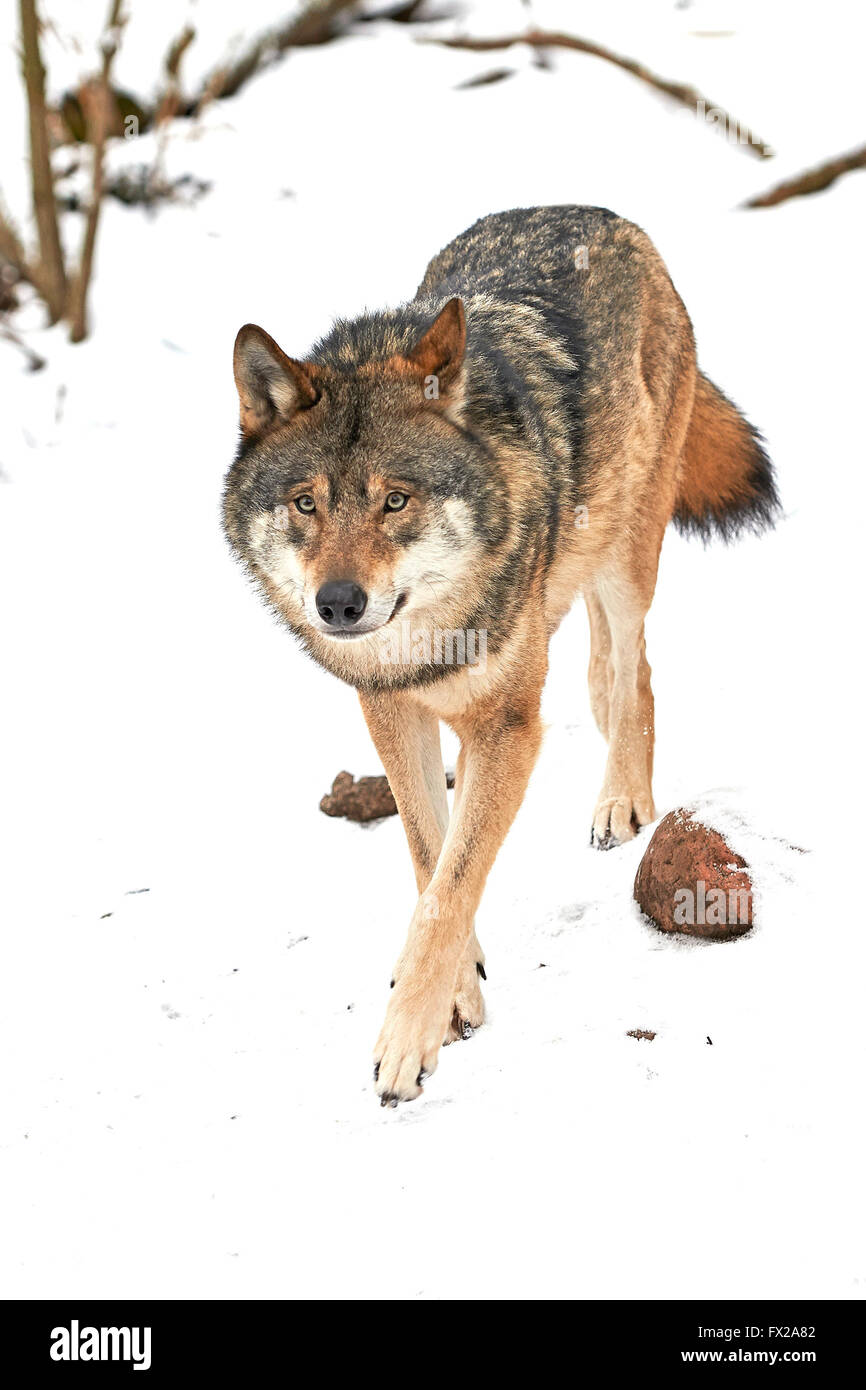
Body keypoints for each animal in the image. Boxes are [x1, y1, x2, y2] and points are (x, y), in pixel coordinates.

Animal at [223, 206, 778, 1106]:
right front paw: (457, 992)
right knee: (597, 672)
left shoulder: (510, 728)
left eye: (396, 501)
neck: (434, 635)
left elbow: (451, 886)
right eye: (307, 504)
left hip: (627, 553)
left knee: (632, 671)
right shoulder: (391, 709)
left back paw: (622, 800)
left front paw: (408, 1041)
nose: (337, 603)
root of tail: (602, 215)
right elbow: (430, 858)